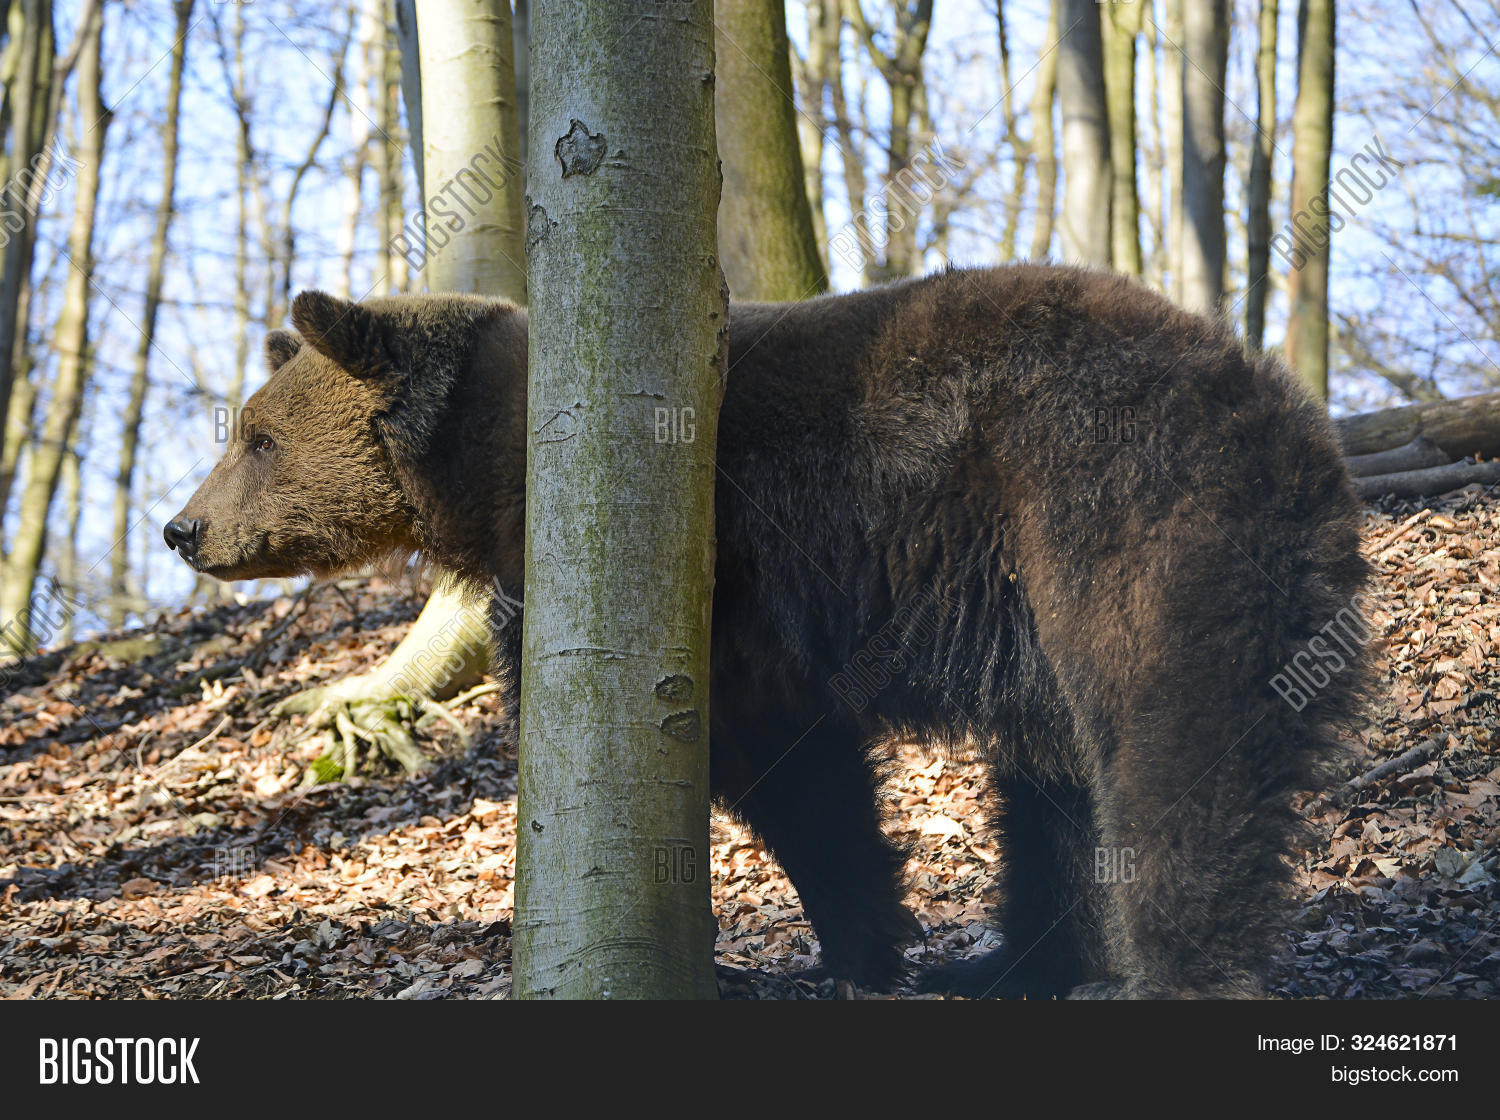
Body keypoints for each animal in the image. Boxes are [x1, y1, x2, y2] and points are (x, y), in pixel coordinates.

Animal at [165, 264, 1370, 998]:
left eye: (256, 436)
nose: (184, 528)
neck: (493, 463)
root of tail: (1292, 425)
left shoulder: (734, 563)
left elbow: (780, 761)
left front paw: (844, 940)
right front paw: (876, 943)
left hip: (1111, 512)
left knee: (1172, 754)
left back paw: (1169, 963)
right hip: (1043, 607)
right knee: (1059, 783)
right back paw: (1008, 961)